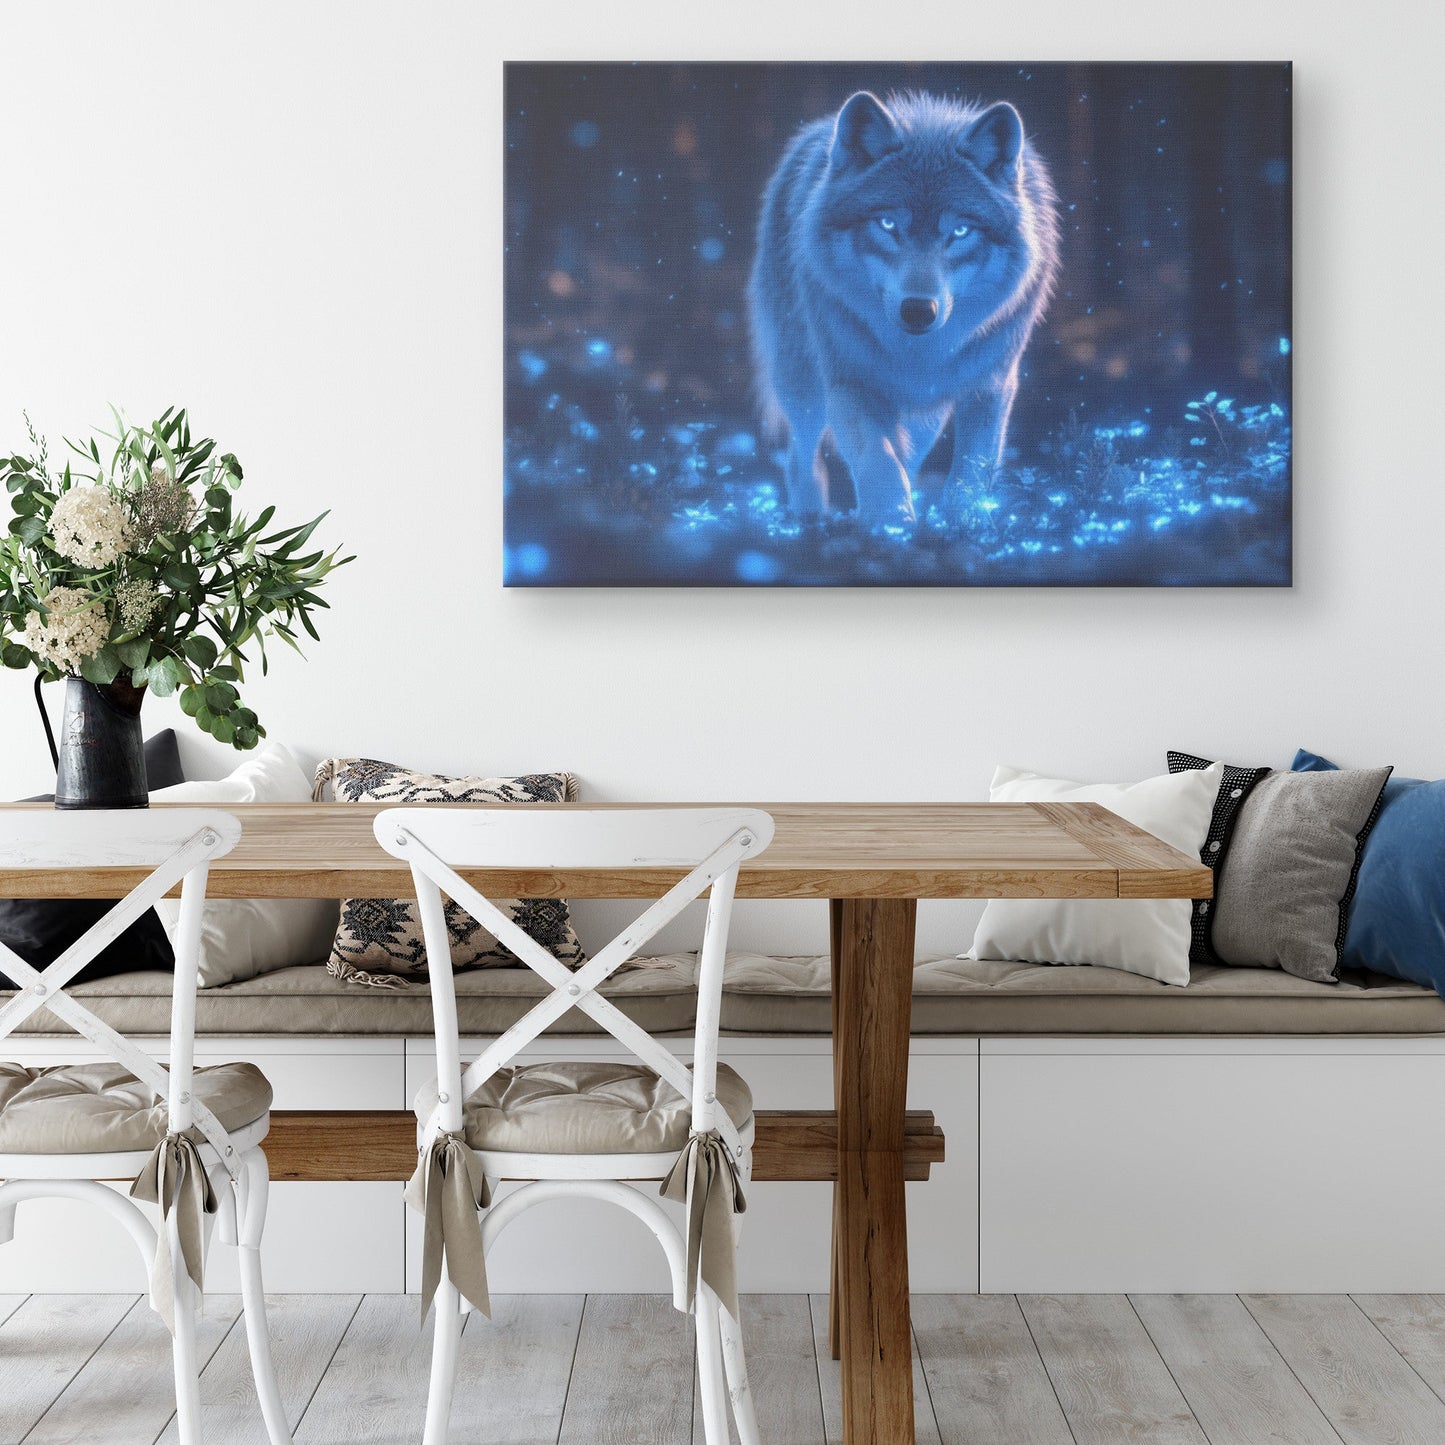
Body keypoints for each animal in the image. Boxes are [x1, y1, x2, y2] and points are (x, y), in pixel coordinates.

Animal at [749, 90, 1060, 526]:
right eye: (888, 225)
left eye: (960, 231)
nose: (918, 310)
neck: (917, 354)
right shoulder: (851, 383)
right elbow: (879, 460)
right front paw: (890, 522)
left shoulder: (990, 386)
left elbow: (971, 468)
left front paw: (963, 521)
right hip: (802, 384)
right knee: (801, 457)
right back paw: (809, 518)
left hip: (925, 413)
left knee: (909, 456)